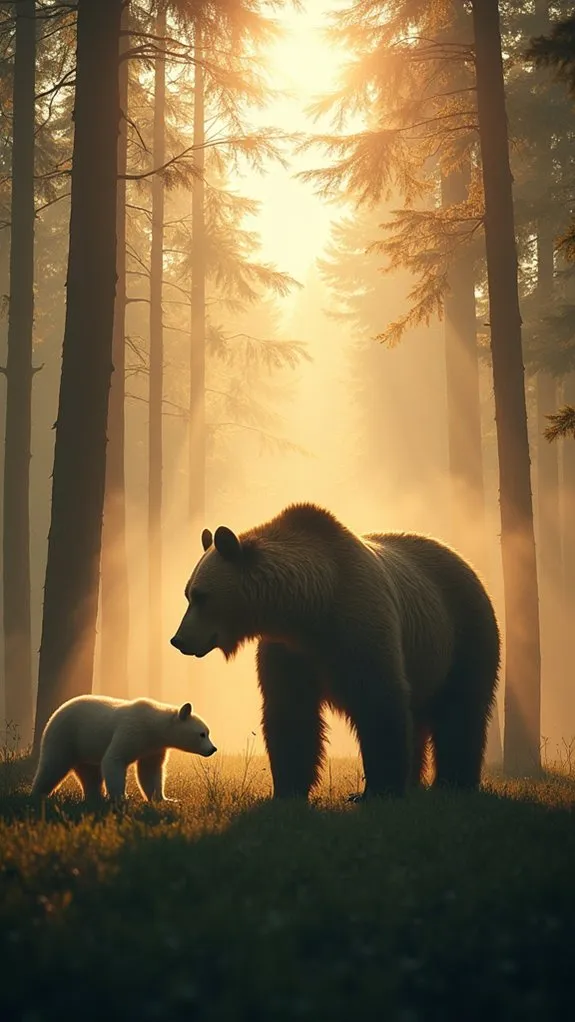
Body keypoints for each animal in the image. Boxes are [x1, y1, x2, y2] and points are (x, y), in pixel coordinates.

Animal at [31, 695, 217, 802]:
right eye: (202, 734)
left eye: (208, 732)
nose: (212, 749)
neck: (153, 727)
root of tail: (57, 711)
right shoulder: (132, 731)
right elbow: (114, 759)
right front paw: (121, 798)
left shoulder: (154, 747)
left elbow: (150, 770)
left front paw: (165, 799)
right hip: (66, 736)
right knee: (53, 766)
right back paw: (37, 794)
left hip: (85, 747)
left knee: (90, 774)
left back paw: (94, 797)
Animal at [170, 502, 500, 801]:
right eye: (187, 594)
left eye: (201, 595)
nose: (179, 640)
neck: (311, 607)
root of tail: (463, 560)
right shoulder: (289, 650)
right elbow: (290, 711)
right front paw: (288, 790)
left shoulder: (359, 626)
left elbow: (379, 701)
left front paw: (379, 790)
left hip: (462, 632)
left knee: (461, 708)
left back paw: (454, 782)